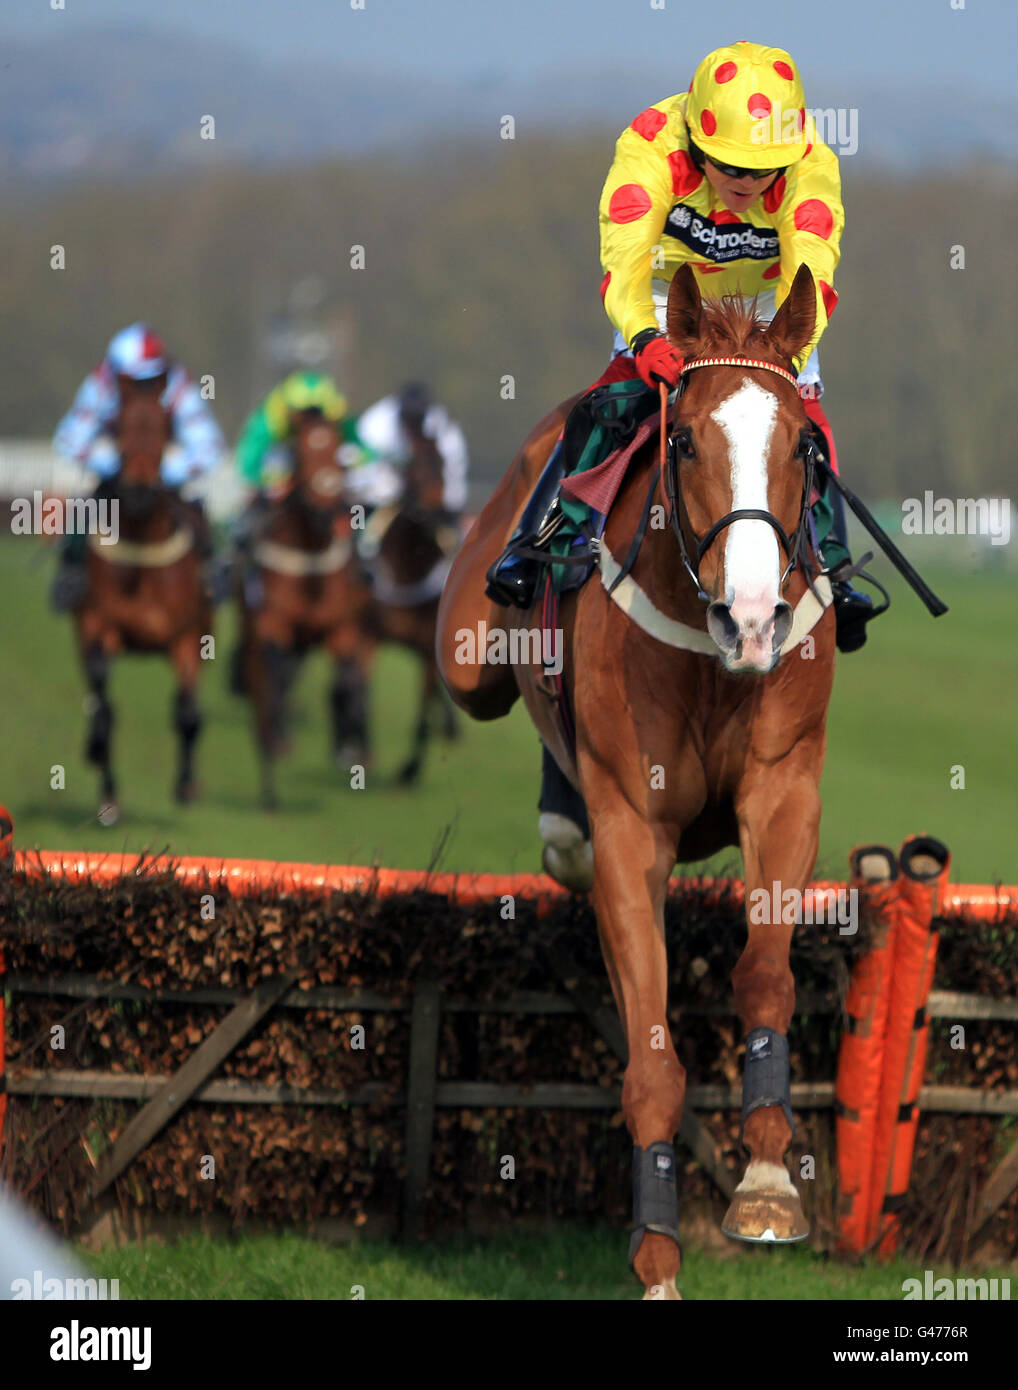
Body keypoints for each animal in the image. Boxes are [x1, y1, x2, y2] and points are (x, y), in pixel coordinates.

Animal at [73, 377, 211, 820]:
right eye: (116, 427)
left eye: (166, 430)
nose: (137, 491)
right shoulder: (98, 627)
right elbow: (104, 709)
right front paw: (108, 793)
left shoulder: (188, 638)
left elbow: (186, 713)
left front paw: (186, 785)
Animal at [236, 407, 373, 809]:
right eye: (298, 450)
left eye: (338, 449)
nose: (325, 505)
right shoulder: (272, 625)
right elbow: (277, 678)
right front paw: (283, 737)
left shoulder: (343, 627)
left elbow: (347, 682)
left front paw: (350, 748)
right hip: (253, 636)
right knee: (263, 697)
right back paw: (270, 783)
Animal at [356, 423, 460, 784]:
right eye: (413, 462)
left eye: (444, 464)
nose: (438, 514)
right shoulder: (367, 636)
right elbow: (360, 694)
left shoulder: (427, 647)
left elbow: (424, 709)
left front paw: (411, 768)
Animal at [437, 264, 836, 1298]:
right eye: (684, 437)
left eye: (802, 446)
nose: (752, 615)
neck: (710, 653)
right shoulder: (631, 829)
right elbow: (652, 1060)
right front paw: (656, 1260)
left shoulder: (784, 792)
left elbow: (765, 976)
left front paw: (768, 1185)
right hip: (468, 651)